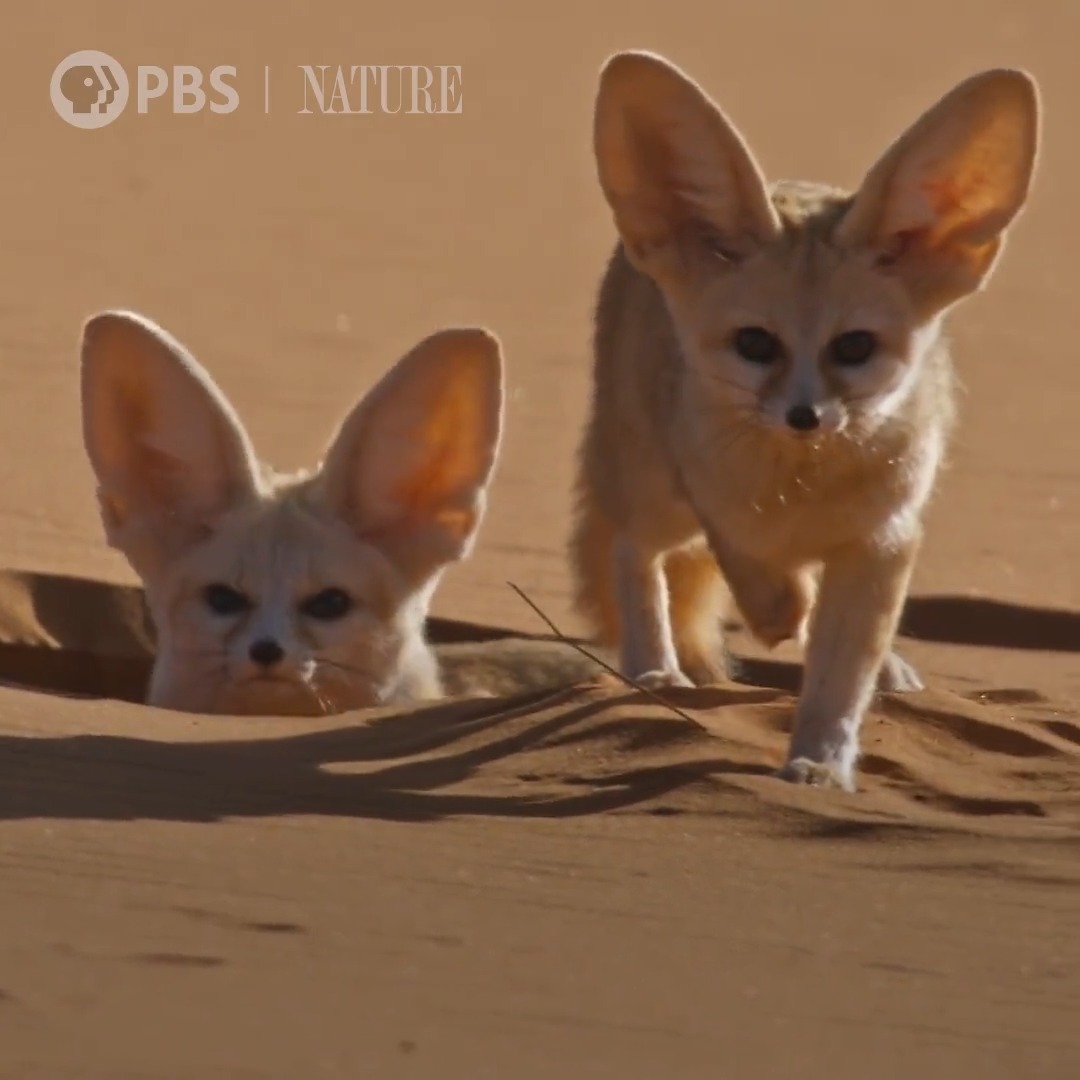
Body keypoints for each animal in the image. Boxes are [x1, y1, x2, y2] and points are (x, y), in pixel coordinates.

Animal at [570, 51, 1040, 790]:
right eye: (755, 343)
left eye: (854, 348)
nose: (804, 416)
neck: (802, 489)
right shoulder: (718, 506)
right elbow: (761, 578)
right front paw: (777, 614)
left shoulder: (883, 541)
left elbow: (839, 671)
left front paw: (821, 764)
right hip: (656, 494)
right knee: (631, 549)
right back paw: (656, 670)